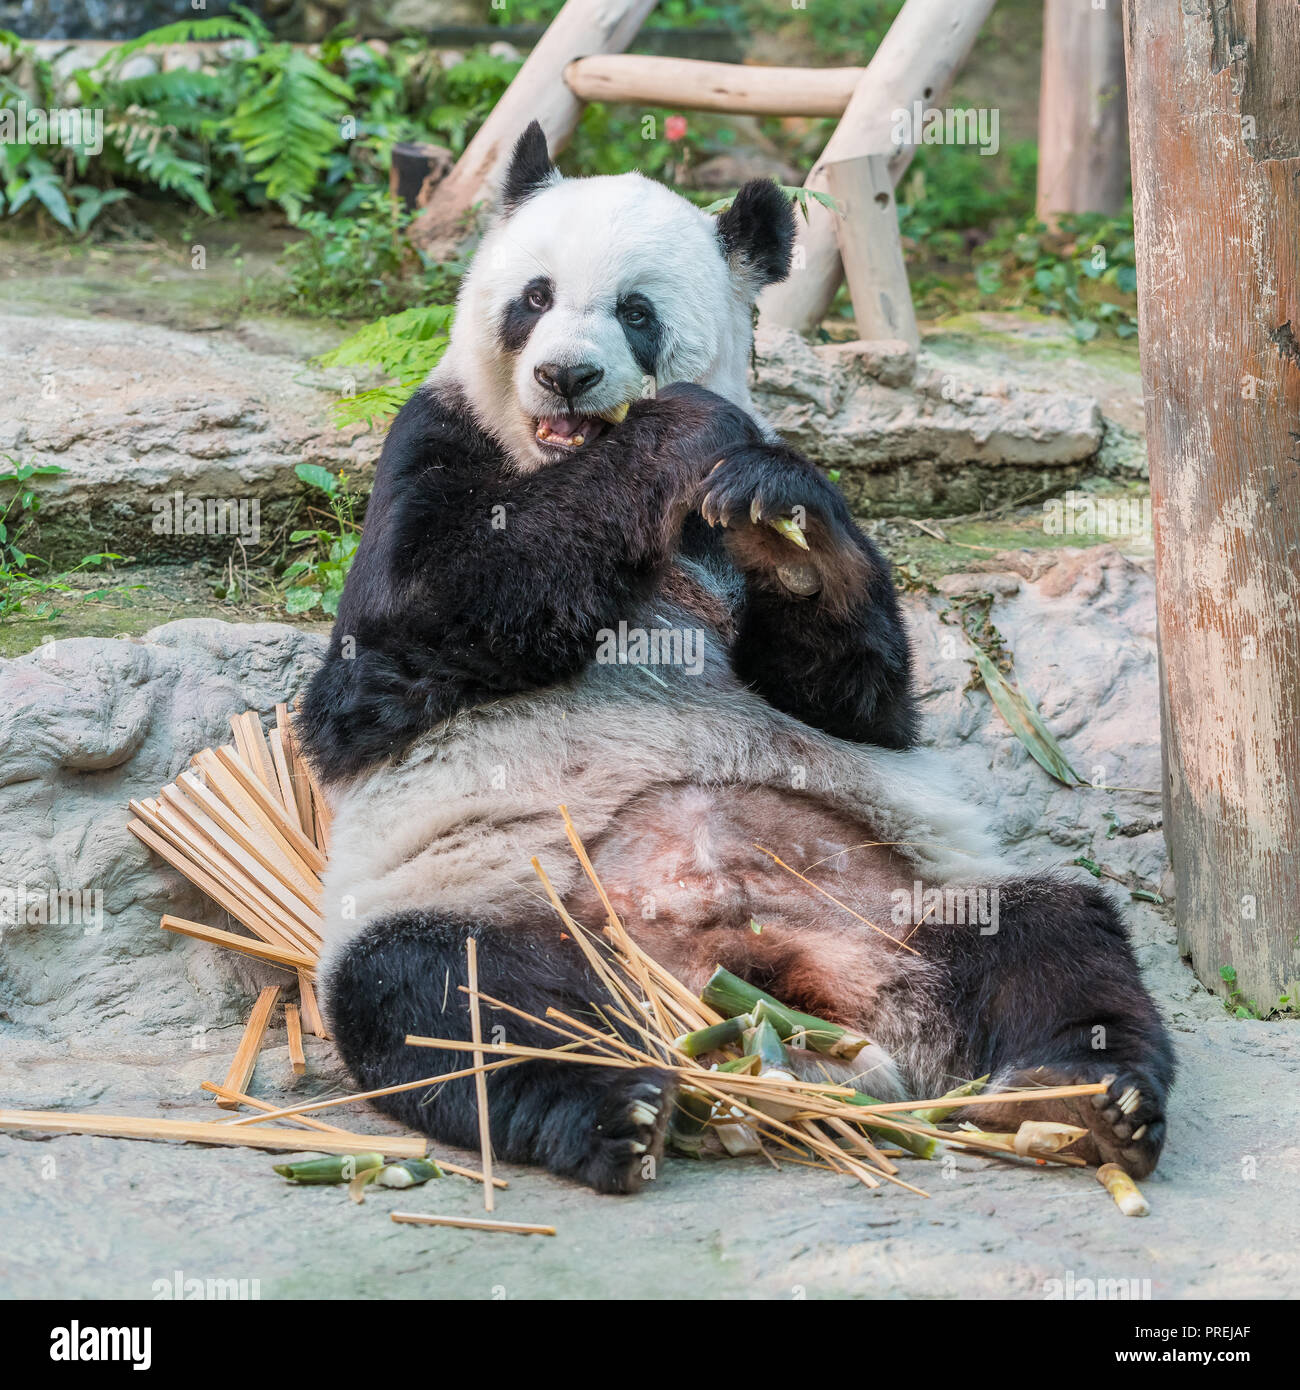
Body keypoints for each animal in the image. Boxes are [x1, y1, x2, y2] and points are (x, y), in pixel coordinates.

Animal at [299, 122, 1173, 1194]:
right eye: (534, 296)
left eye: (635, 312)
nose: (565, 376)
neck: (558, 462)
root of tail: (729, 971)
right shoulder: (432, 439)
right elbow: (390, 652)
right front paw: (676, 431)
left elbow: (858, 702)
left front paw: (783, 523)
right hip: (494, 895)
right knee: (450, 998)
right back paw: (614, 1109)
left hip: (904, 891)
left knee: (1054, 935)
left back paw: (1081, 1097)